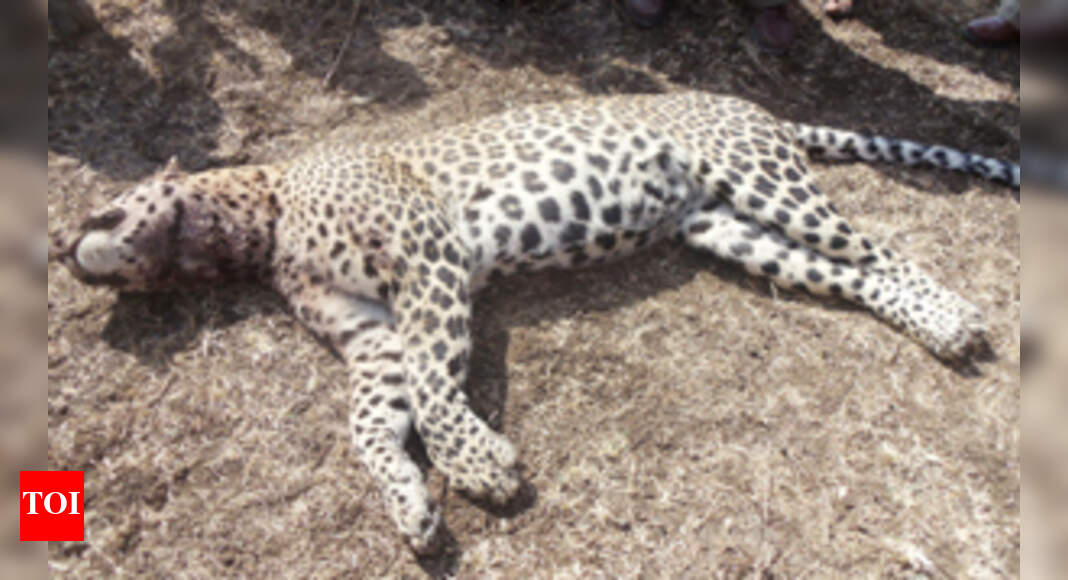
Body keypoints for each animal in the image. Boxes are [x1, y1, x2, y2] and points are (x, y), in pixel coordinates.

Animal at [52, 91, 1018, 553]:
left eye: (108, 202)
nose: (59, 246)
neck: (258, 227)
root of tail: (755, 107)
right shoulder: (372, 340)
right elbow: (370, 424)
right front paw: (411, 507)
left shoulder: (428, 255)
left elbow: (437, 386)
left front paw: (478, 465)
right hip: (729, 230)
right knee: (851, 276)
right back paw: (937, 329)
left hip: (762, 181)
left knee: (880, 249)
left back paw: (958, 318)